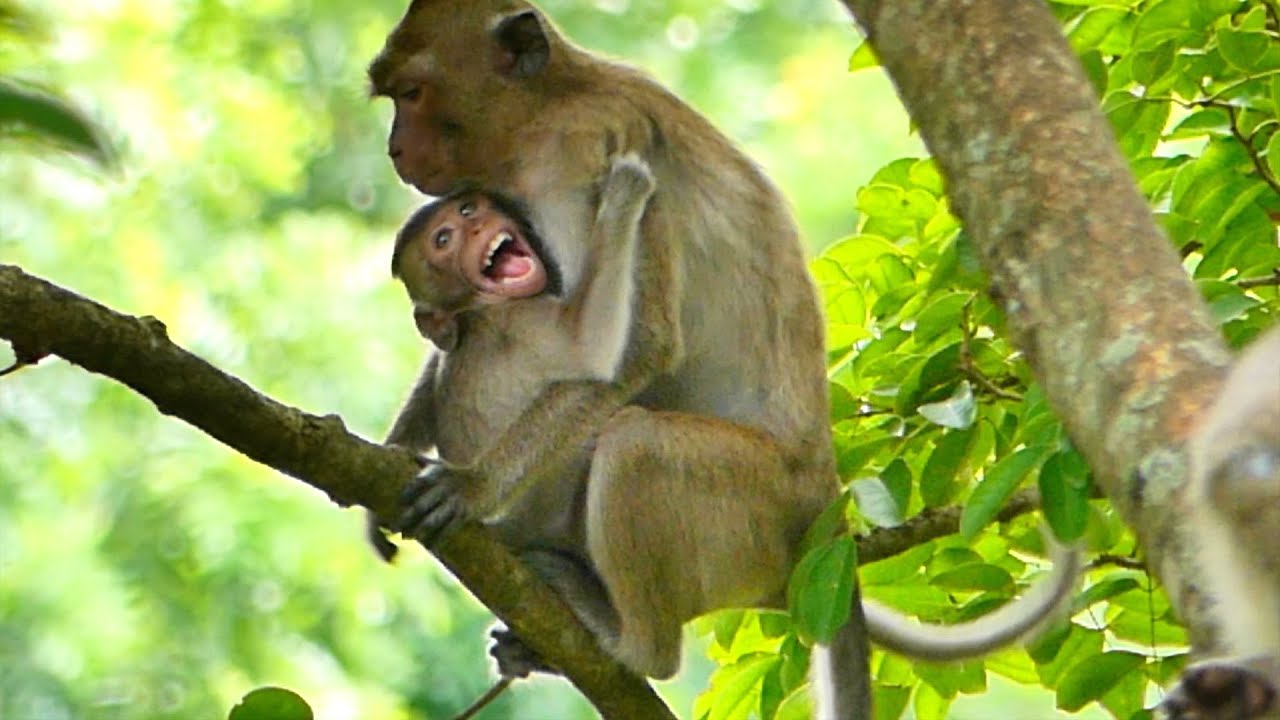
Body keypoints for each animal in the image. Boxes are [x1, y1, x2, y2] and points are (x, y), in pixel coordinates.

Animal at [367, 3, 1080, 716]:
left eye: (413, 93)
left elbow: (622, 352)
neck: (551, 107)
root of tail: (825, 525)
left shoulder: (591, 151)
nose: (395, 148)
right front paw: (398, 449)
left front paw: (471, 485)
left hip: (746, 511)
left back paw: (633, 646)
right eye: (394, 95)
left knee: (636, 443)